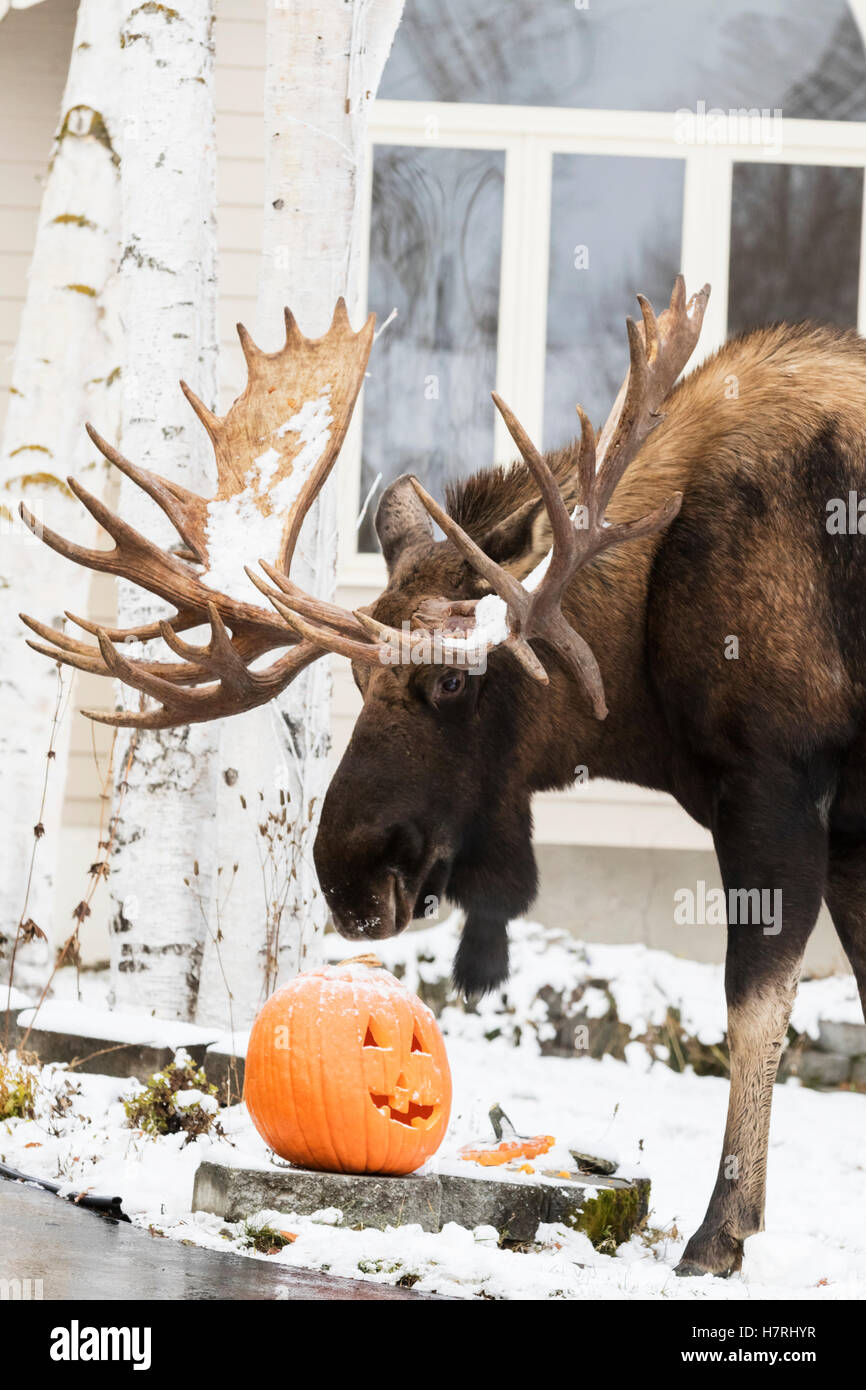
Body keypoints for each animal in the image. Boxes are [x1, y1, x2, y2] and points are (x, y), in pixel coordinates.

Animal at [20, 279, 866, 1278]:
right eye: (353, 682)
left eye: (454, 680)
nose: (347, 875)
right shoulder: (848, 828)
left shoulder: (774, 785)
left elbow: (752, 1007)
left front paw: (720, 1233)